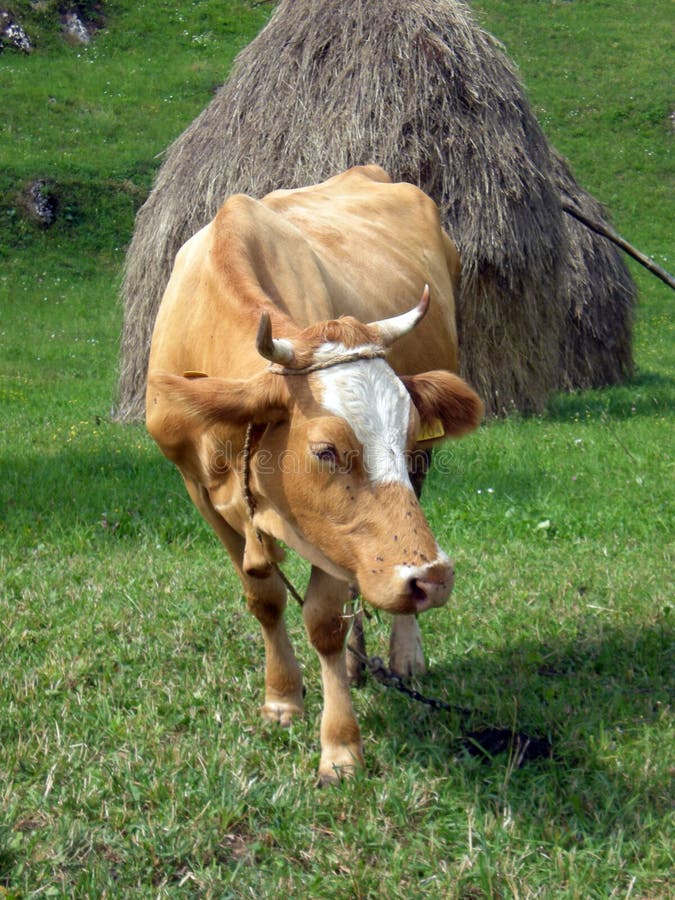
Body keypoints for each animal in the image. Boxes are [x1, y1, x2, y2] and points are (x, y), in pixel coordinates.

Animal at [146, 165, 483, 783]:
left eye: (405, 436)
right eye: (326, 451)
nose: (432, 579)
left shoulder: (329, 527)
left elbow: (324, 620)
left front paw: (341, 746)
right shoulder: (197, 489)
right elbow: (264, 600)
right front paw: (282, 698)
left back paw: (401, 655)